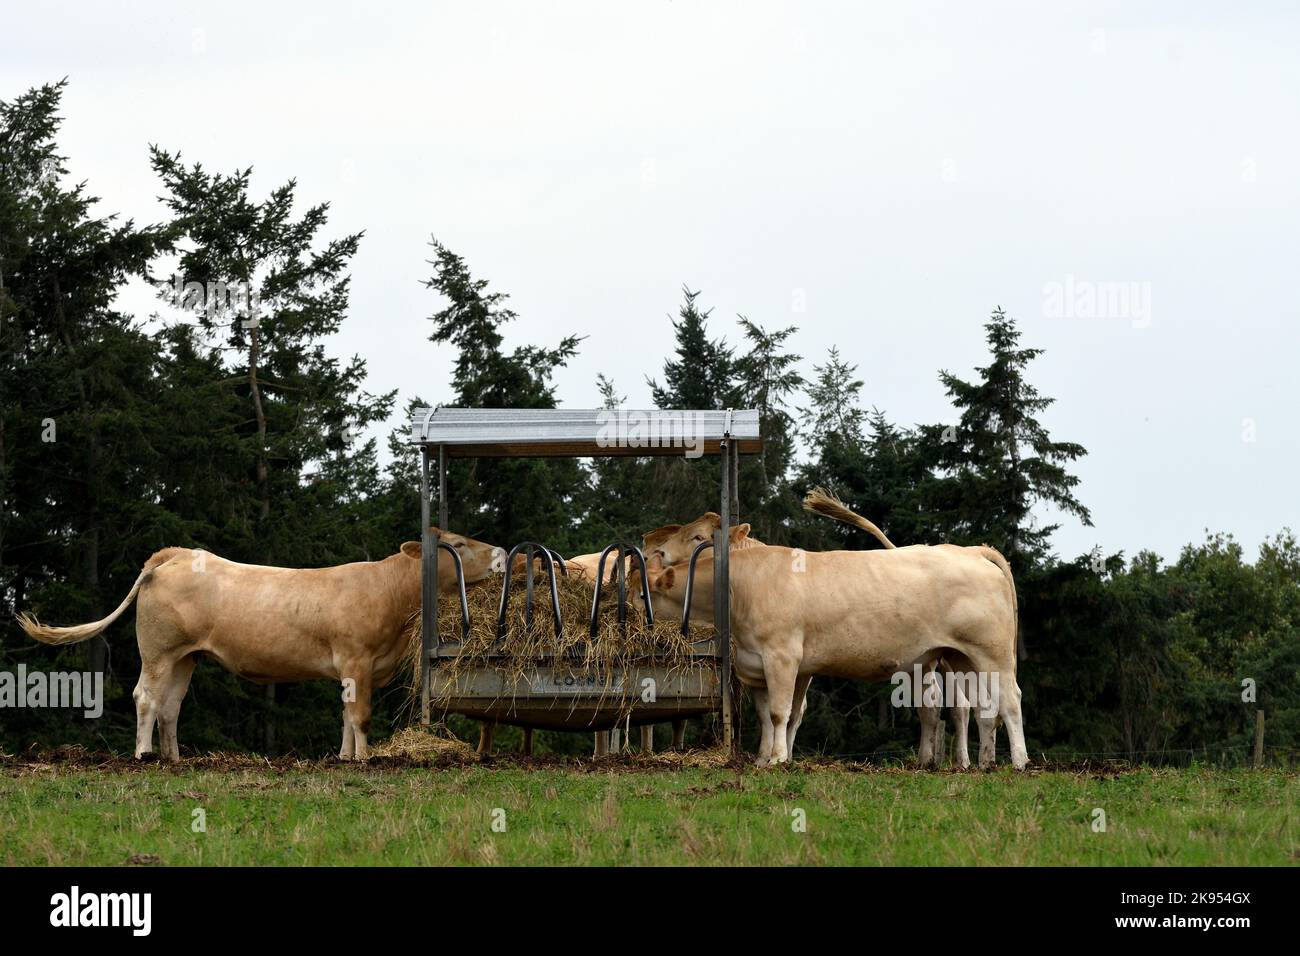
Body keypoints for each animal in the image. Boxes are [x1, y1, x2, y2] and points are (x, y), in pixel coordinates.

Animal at [16, 530, 505, 762]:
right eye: (458, 543)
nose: (501, 553)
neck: (387, 590)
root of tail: (175, 554)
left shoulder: (351, 668)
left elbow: (346, 716)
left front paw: (345, 757)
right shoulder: (357, 659)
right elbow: (361, 716)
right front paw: (366, 760)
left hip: (186, 657)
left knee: (170, 705)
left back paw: (174, 758)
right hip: (157, 651)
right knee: (145, 698)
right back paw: (143, 756)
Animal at [631, 538, 1026, 769]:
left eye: (641, 593)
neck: (739, 587)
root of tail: (970, 551)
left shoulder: (782, 656)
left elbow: (779, 713)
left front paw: (778, 759)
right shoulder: (755, 665)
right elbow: (766, 716)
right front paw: (762, 758)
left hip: (993, 653)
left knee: (1010, 700)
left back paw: (1019, 762)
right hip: (962, 657)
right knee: (984, 706)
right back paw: (982, 763)